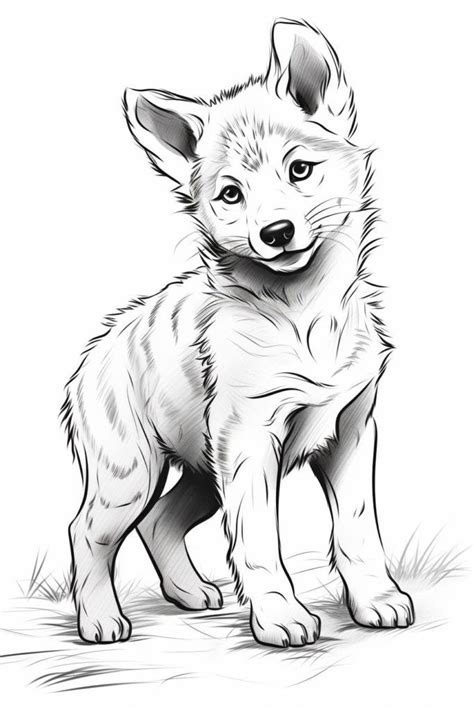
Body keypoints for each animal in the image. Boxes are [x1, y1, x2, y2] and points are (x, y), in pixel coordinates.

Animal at [62, 18, 414, 647]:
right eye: (232, 194)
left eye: (299, 170)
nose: (276, 233)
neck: (304, 318)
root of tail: (92, 356)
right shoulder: (251, 440)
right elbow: (258, 543)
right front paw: (280, 617)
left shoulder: (351, 430)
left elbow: (358, 532)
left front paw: (375, 600)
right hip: (131, 473)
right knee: (88, 532)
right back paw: (100, 619)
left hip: (202, 468)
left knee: (158, 521)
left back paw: (189, 593)